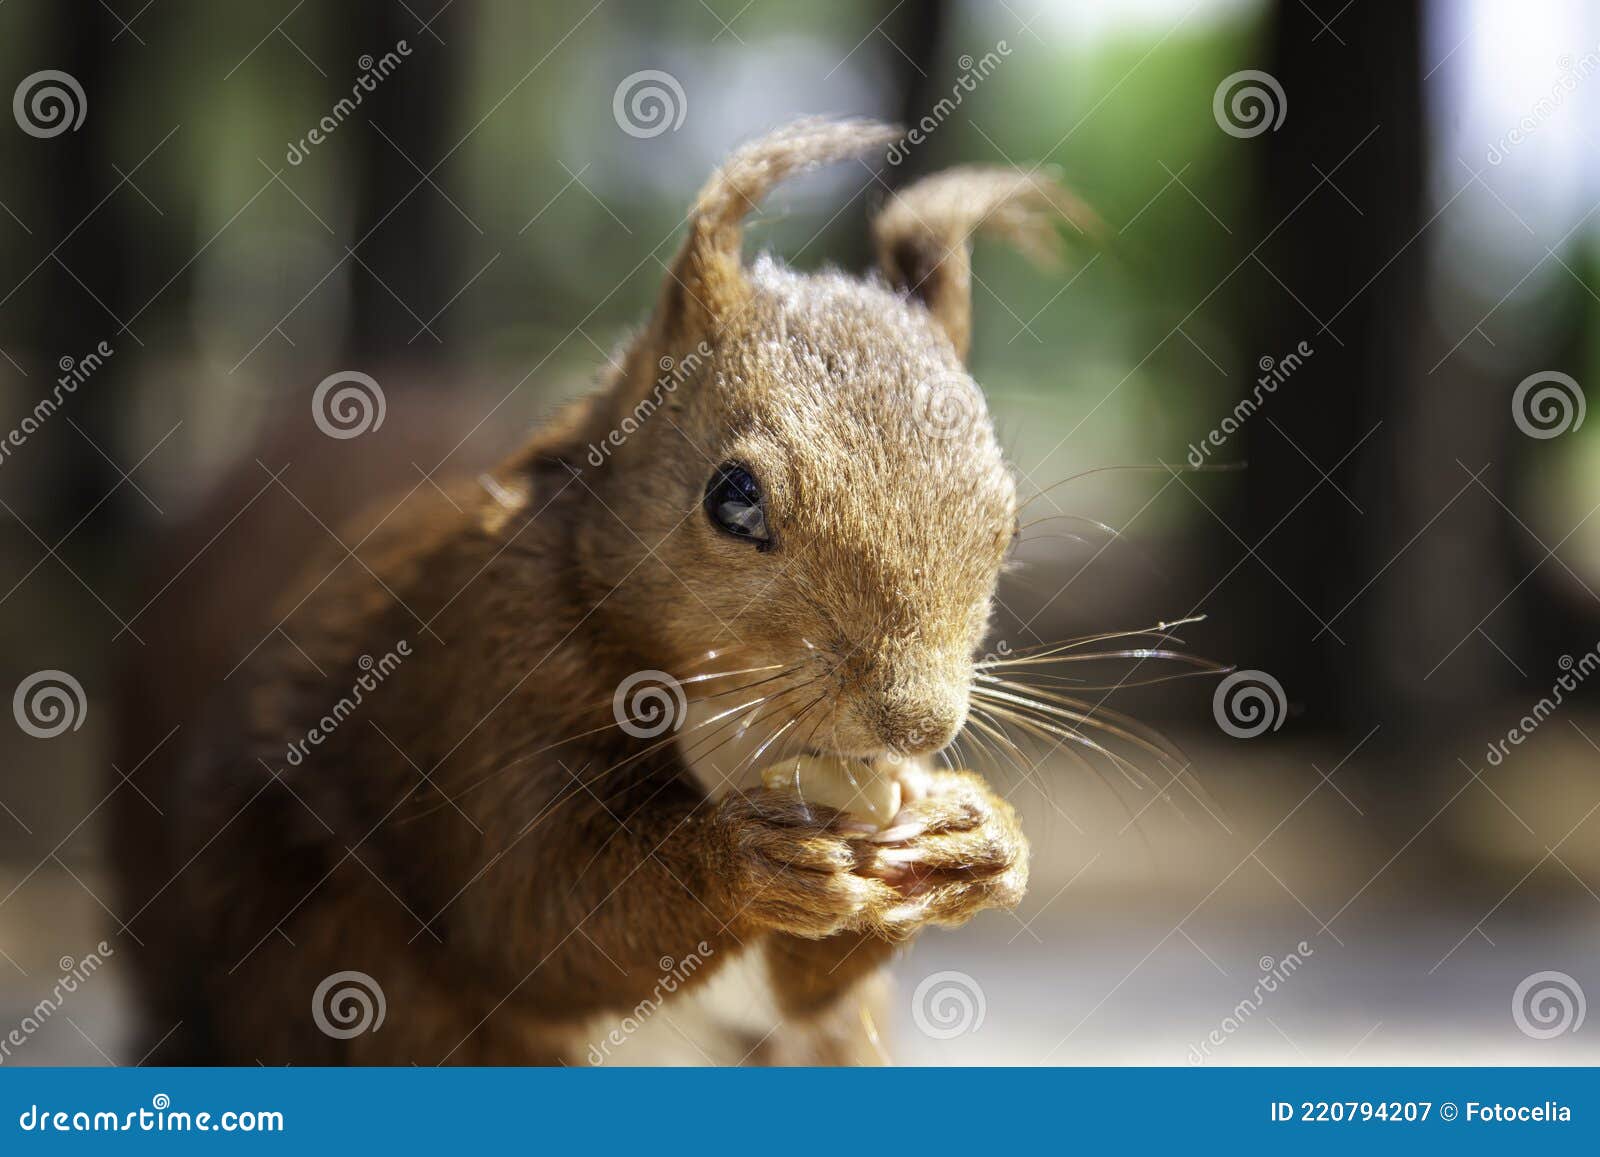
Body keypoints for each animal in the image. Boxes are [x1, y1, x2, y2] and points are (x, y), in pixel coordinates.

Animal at [117, 118, 1095, 1065]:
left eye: (1010, 526)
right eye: (735, 497)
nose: (917, 723)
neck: (732, 716)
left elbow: (802, 988)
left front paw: (981, 838)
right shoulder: (490, 673)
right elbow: (536, 907)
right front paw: (747, 857)